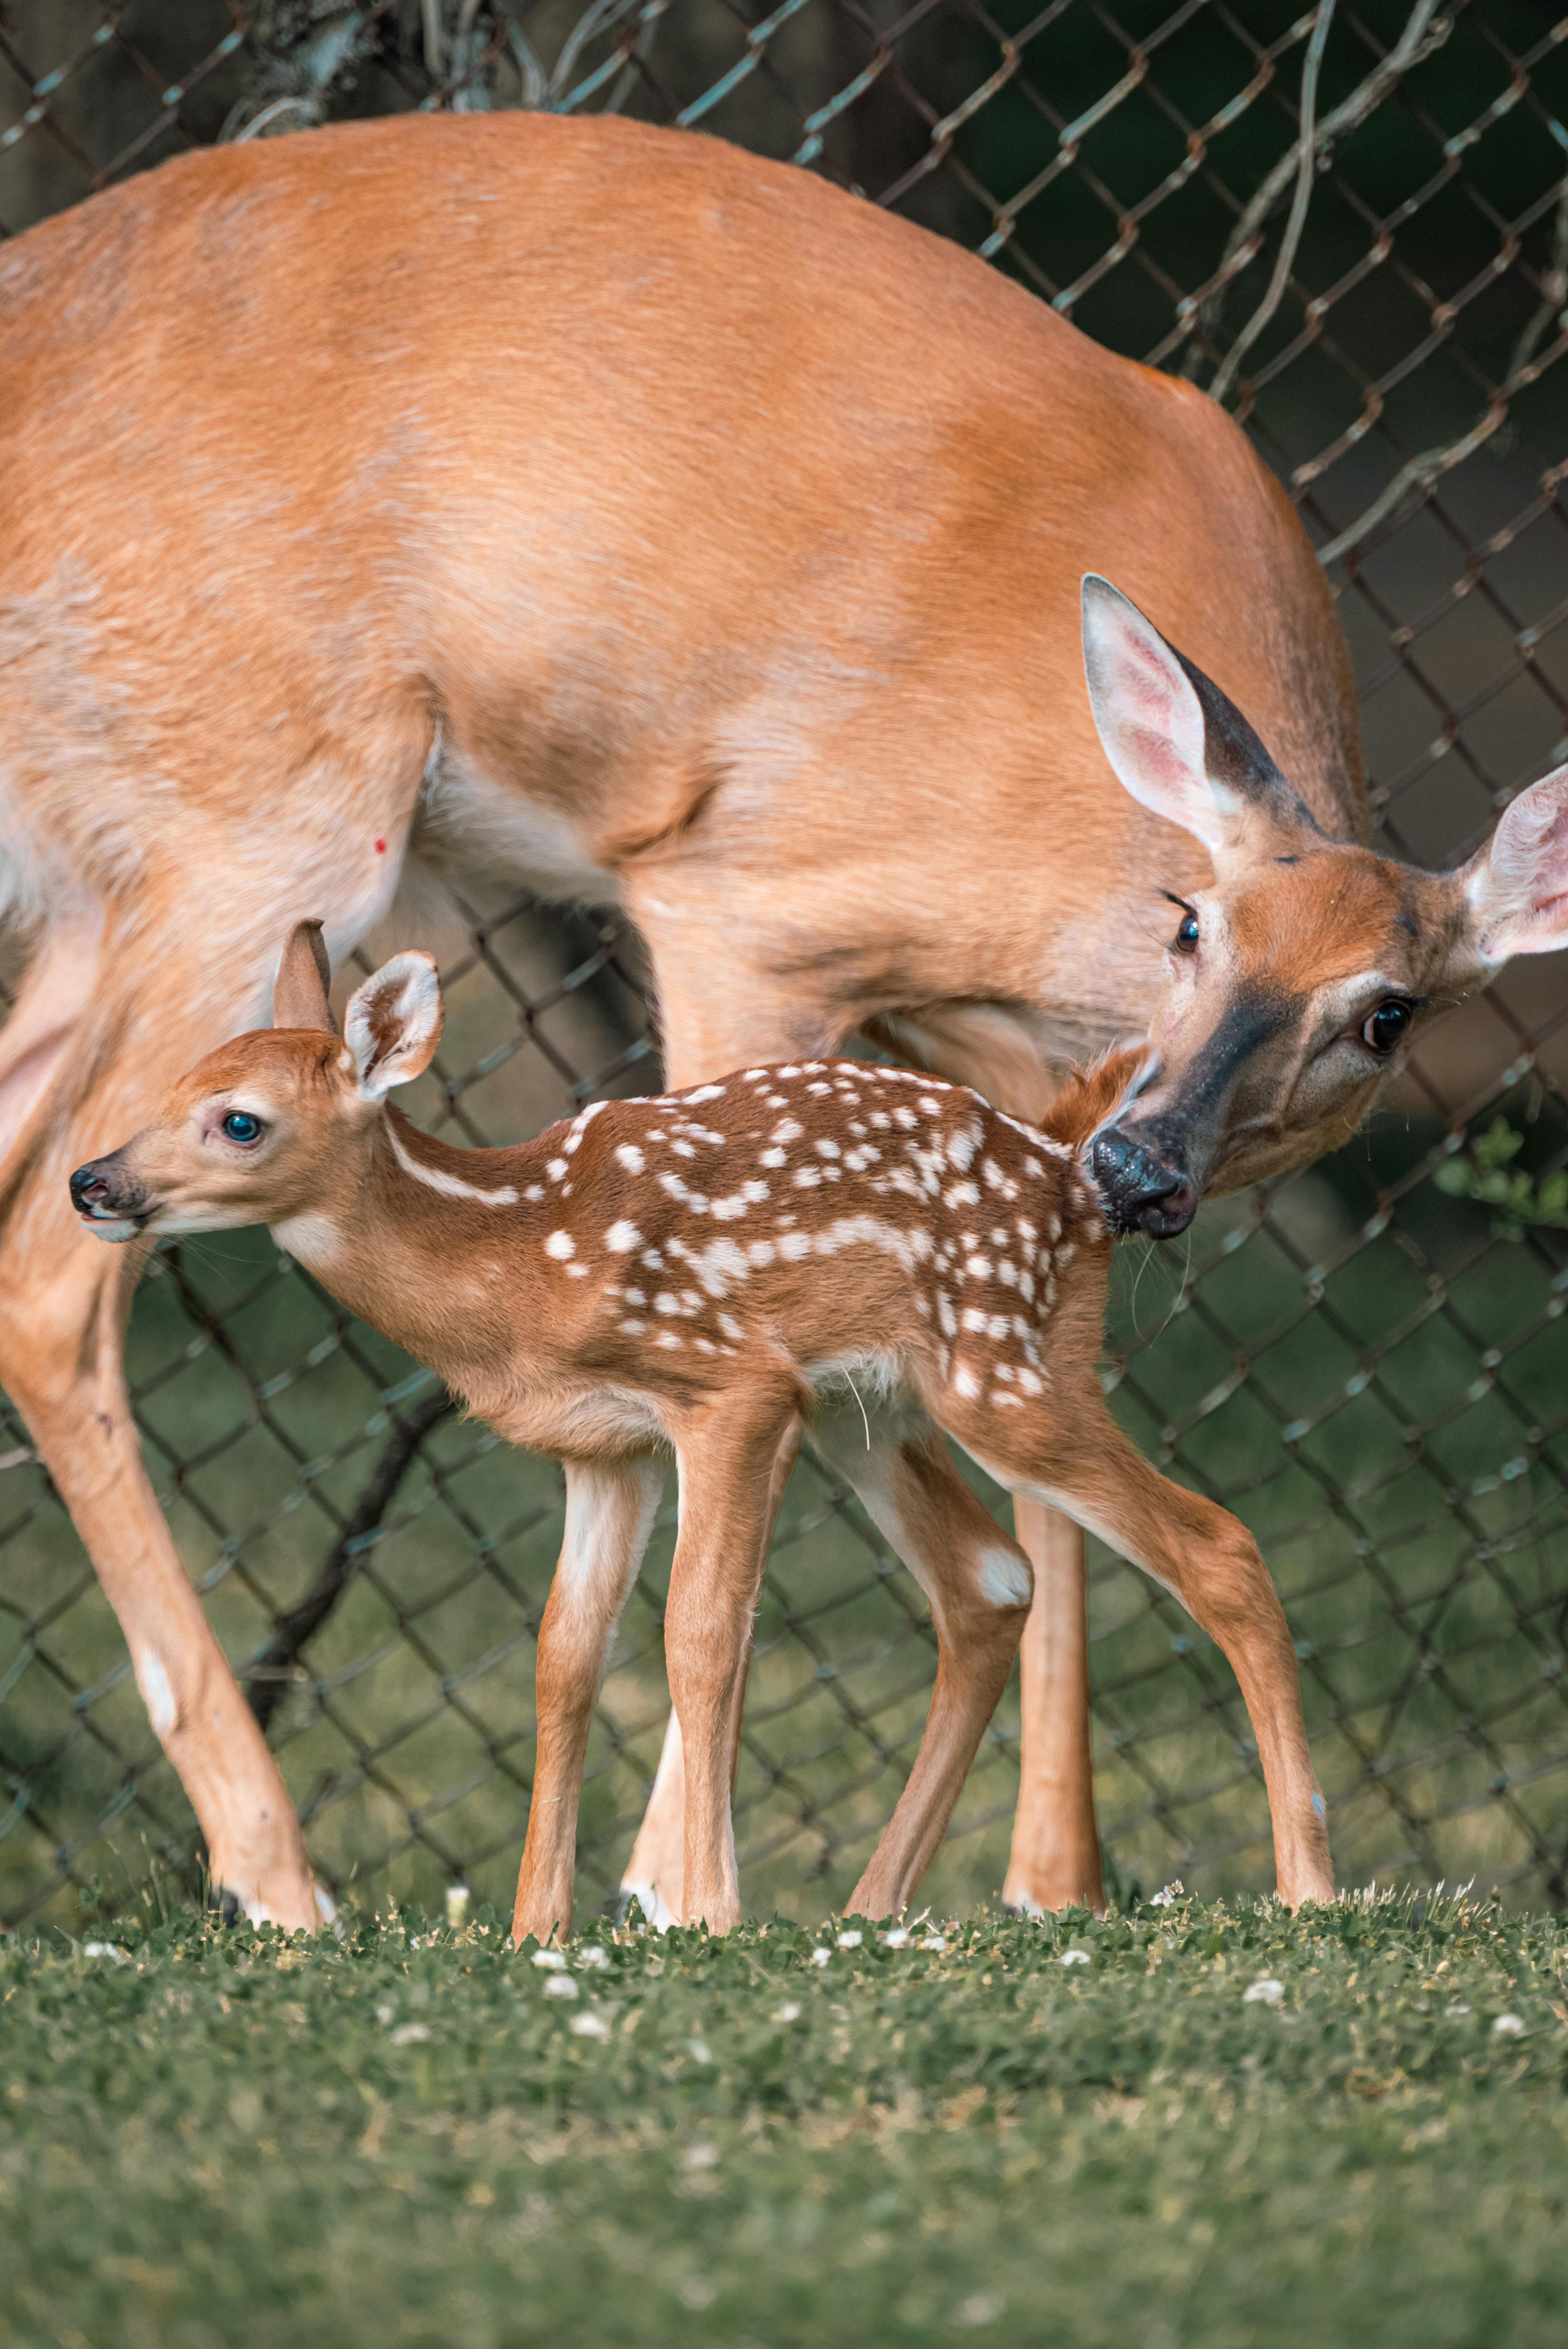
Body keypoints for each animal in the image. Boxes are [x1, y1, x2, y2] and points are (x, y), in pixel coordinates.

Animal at [68, 922, 1340, 1936]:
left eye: (240, 1121)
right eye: (169, 1085)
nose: (92, 1181)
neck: (516, 1261)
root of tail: (1068, 1169)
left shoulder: (729, 1386)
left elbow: (700, 1631)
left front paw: (707, 1913)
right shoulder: (604, 1450)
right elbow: (565, 1659)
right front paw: (535, 1928)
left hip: (1004, 1365)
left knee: (1217, 1545)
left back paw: (1309, 1885)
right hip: (872, 1408)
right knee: (990, 1579)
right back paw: (870, 1908)